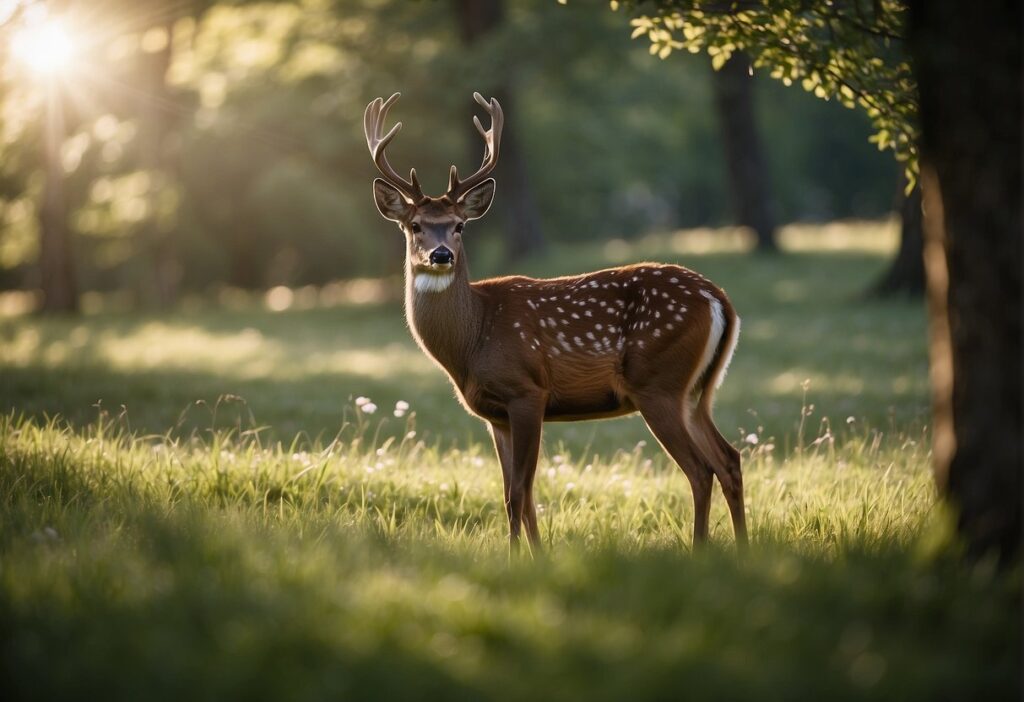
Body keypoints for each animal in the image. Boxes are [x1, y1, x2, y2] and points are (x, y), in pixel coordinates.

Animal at [364, 92, 746, 552]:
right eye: (415, 225)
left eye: (459, 226)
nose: (441, 255)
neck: (473, 340)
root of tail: (720, 300)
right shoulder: (495, 416)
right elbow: (517, 494)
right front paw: (535, 554)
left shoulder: (527, 390)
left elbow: (518, 492)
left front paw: (517, 556)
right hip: (697, 391)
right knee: (729, 459)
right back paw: (743, 547)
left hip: (659, 382)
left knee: (700, 470)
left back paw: (700, 550)